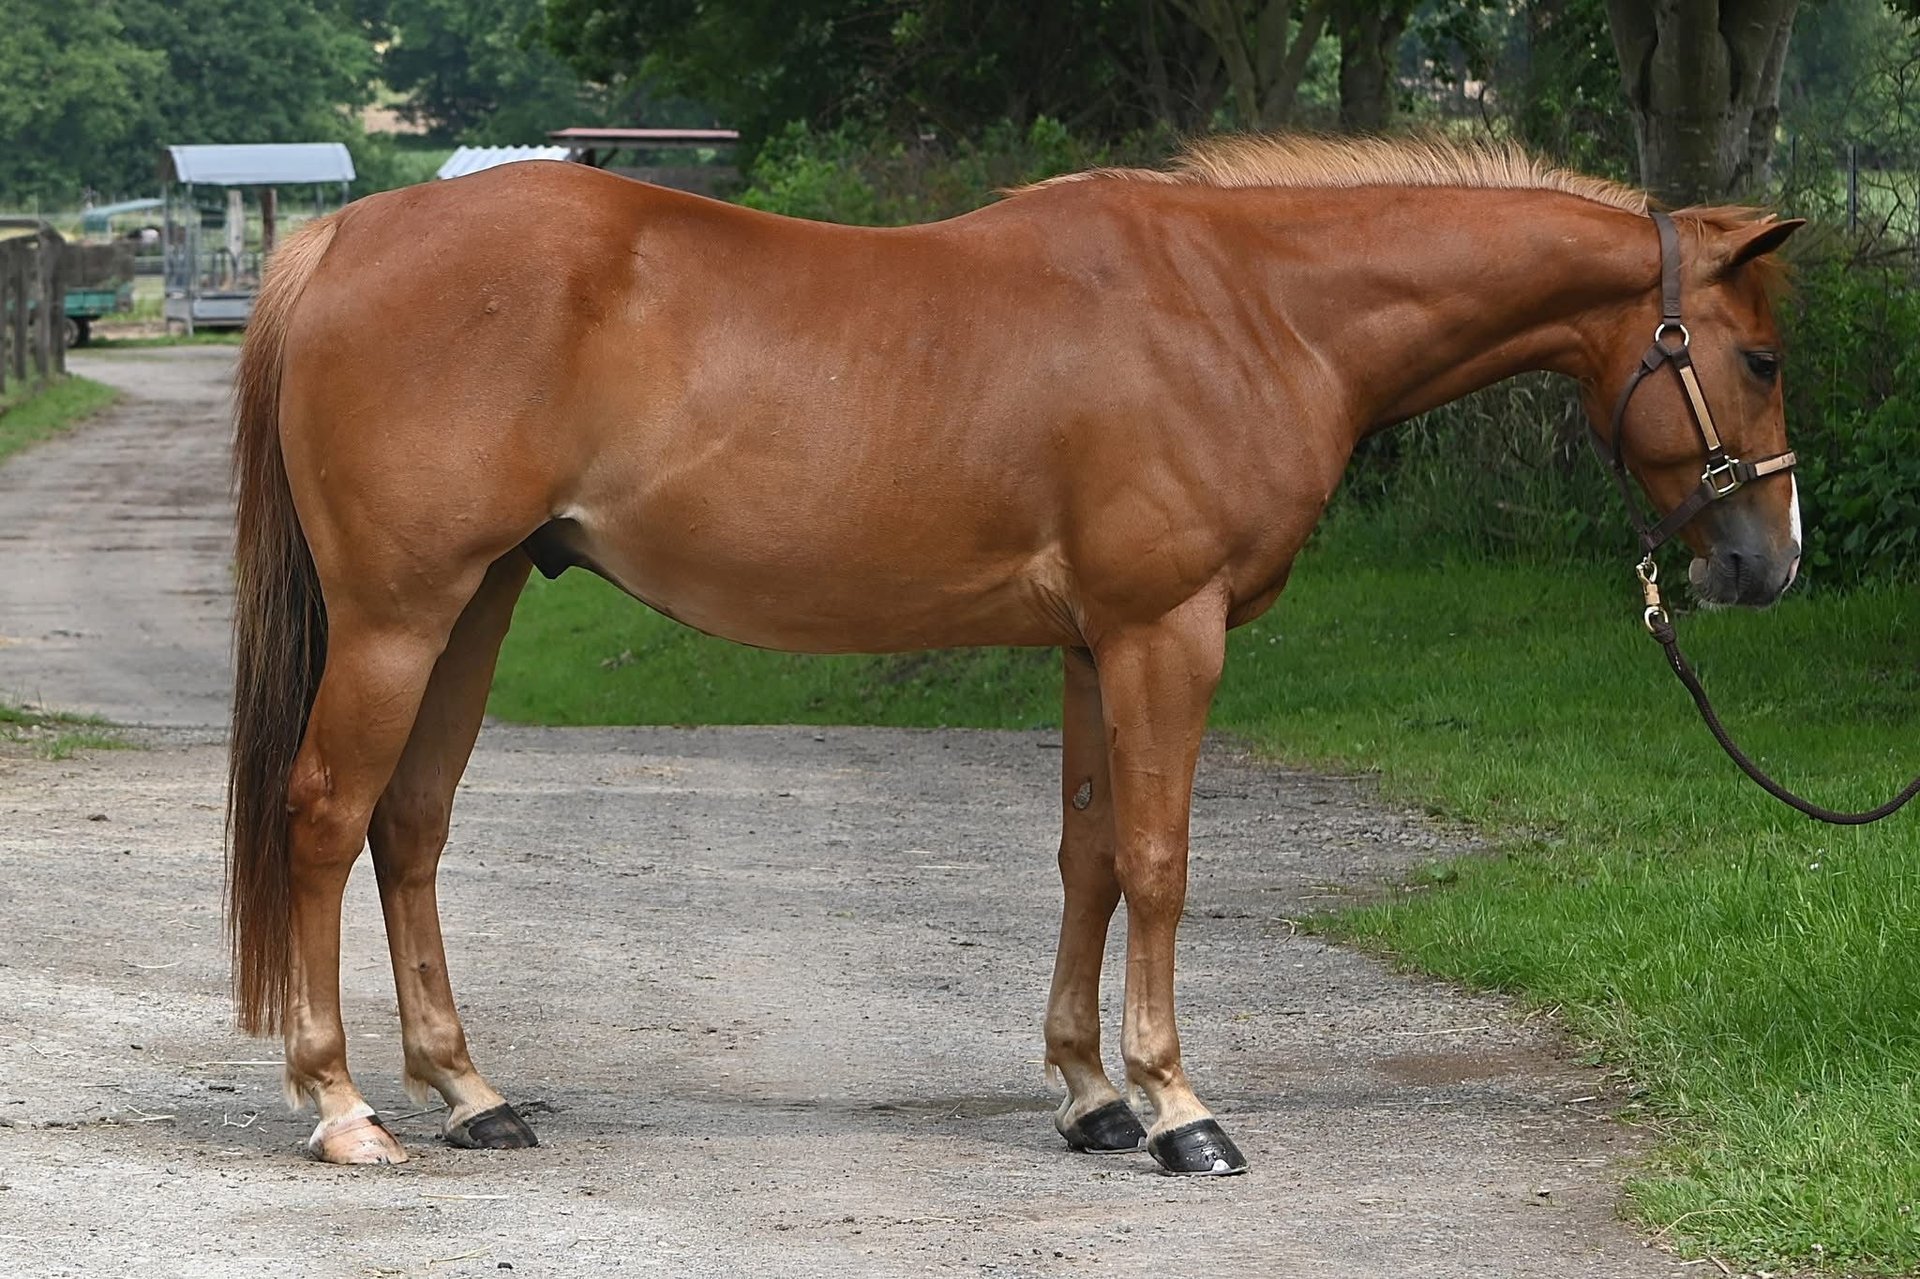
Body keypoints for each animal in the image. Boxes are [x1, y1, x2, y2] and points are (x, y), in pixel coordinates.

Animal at [226, 133, 1804, 1171]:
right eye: (1762, 356)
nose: (1765, 564)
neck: (1254, 306)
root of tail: (345, 237)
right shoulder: (1167, 631)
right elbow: (1160, 861)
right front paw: (1181, 1110)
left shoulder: (1093, 644)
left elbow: (1090, 856)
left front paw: (1090, 1095)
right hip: (400, 614)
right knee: (325, 815)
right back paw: (343, 1106)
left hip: (481, 600)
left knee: (409, 825)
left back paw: (470, 1092)